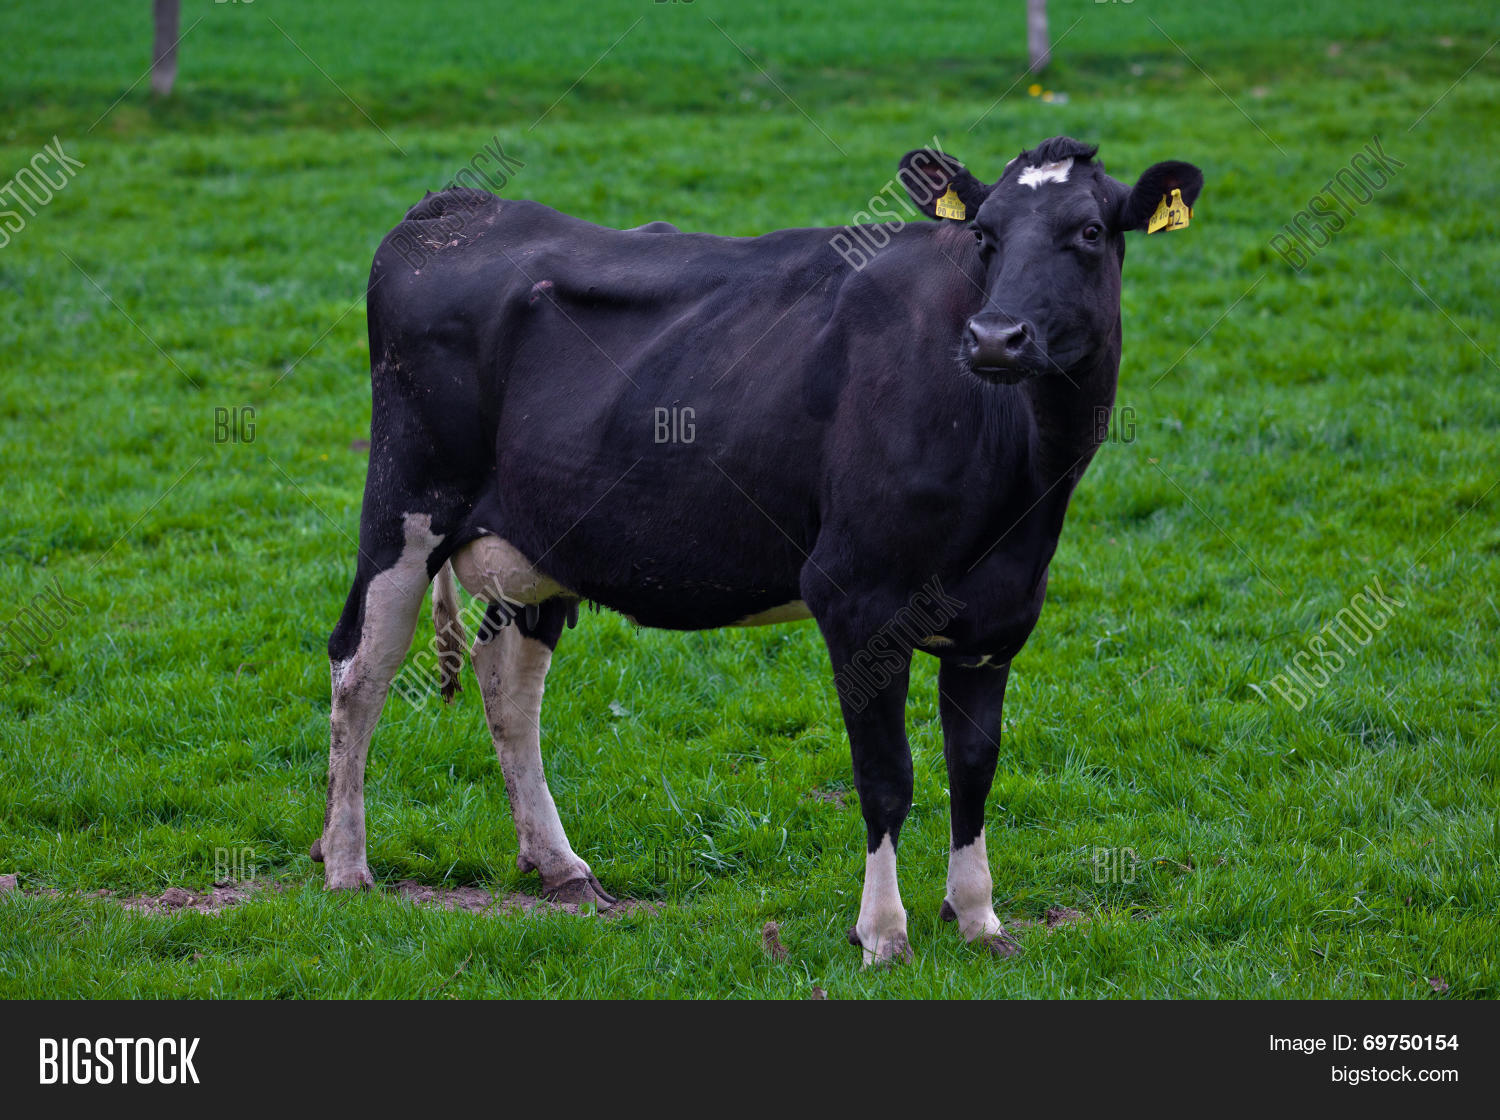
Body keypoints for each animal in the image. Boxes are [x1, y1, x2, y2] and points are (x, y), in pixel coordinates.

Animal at [311, 136, 1203, 964]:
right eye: (984, 233)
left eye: (1090, 231)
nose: (994, 337)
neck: (1023, 472)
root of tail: (459, 209)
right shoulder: (857, 597)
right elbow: (887, 778)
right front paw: (883, 933)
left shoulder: (998, 616)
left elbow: (974, 769)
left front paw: (980, 919)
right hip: (405, 503)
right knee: (360, 669)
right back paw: (347, 866)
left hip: (537, 541)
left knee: (508, 686)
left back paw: (559, 865)